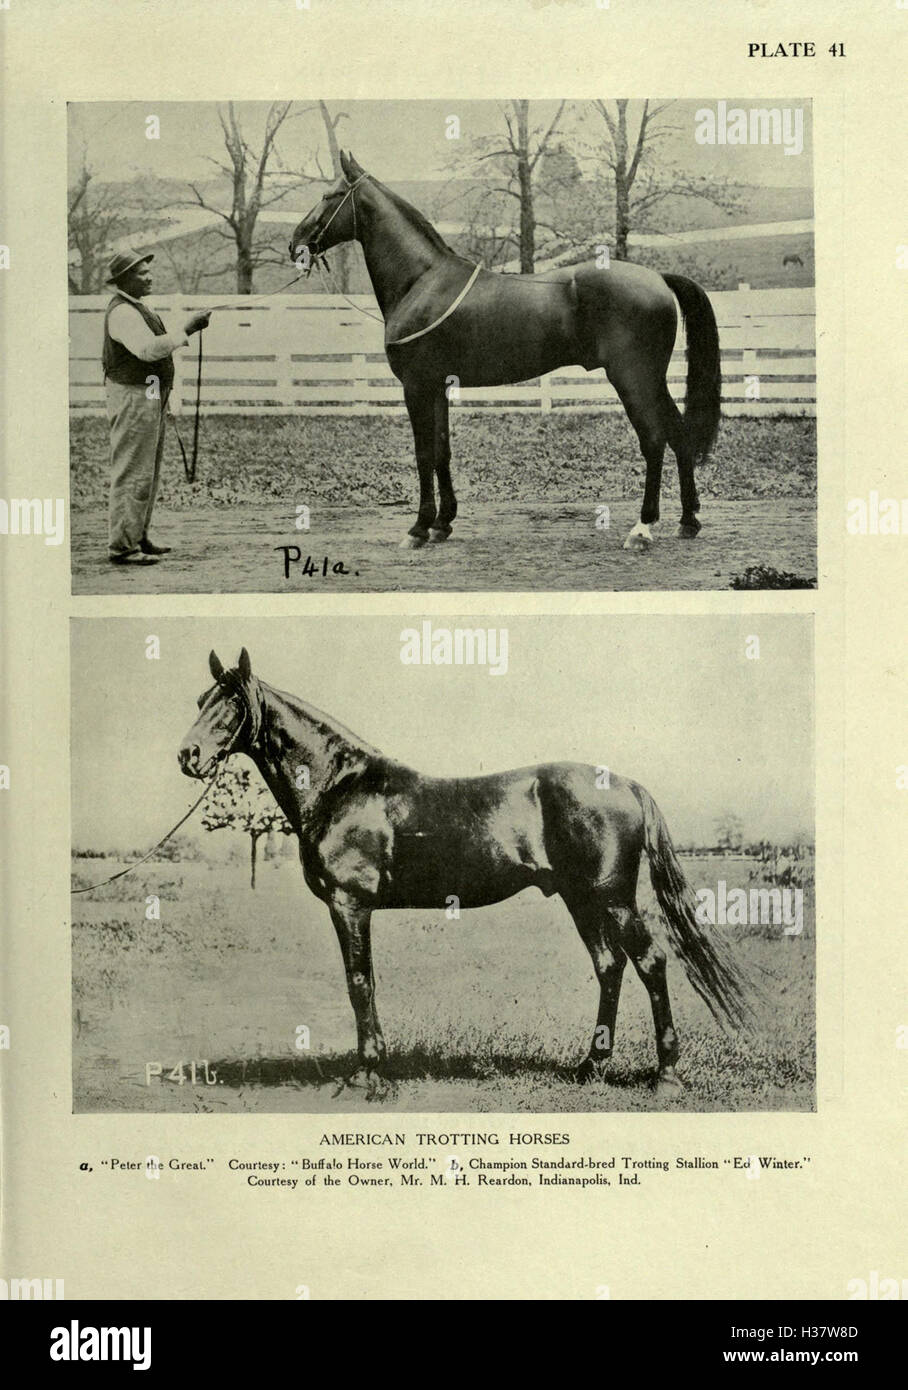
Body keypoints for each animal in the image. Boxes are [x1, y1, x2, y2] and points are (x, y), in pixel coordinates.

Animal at [178, 649, 753, 1099]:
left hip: (612, 899)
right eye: (200, 700)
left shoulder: (350, 903)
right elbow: (363, 982)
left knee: (650, 962)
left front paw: (368, 1076)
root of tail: (626, 784)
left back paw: (666, 1076)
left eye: (231, 704)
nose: (188, 755)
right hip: (580, 899)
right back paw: (590, 1067)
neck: (341, 787)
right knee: (609, 966)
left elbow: (359, 982)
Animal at [289, 151, 721, 554]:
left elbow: (424, 453)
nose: (296, 244)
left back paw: (642, 529)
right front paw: (442, 524)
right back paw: (688, 521)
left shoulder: (416, 386)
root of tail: (658, 278)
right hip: (651, 380)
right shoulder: (438, 387)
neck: (421, 280)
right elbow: (442, 451)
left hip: (632, 379)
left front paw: (418, 529)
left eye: (330, 195)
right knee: (679, 434)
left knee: (654, 440)